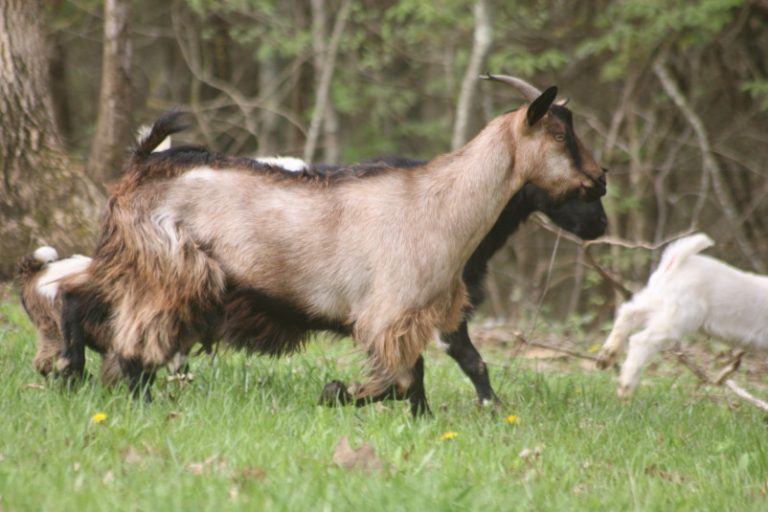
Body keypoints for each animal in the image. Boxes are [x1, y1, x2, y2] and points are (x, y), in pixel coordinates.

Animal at [63, 74, 606, 414]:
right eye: (561, 135)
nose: (600, 183)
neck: (440, 202)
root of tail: (142, 162)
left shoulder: (417, 314)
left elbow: (418, 379)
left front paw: (425, 422)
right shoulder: (391, 312)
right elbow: (406, 379)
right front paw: (334, 391)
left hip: (135, 268)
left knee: (79, 297)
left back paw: (74, 374)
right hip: (168, 272)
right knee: (129, 342)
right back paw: (123, 394)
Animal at [596, 233, 768, 397]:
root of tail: (675, 262)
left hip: (657, 301)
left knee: (628, 313)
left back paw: (607, 356)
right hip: (679, 317)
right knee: (642, 340)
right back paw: (626, 386)